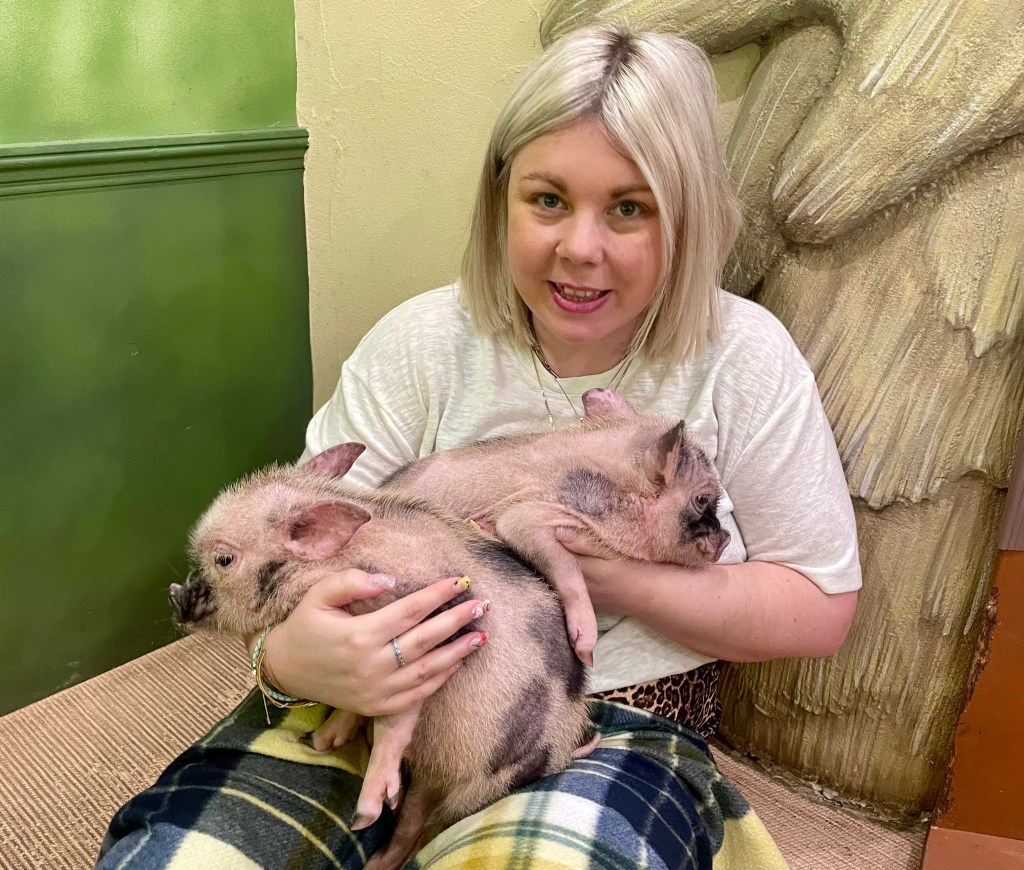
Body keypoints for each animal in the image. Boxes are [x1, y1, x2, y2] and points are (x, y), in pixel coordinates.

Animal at [169, 443, 596, 870]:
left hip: (483, 785)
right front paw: (320, 743)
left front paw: (366, 812)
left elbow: (397, 718)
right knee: (413, 815)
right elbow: (358, 702)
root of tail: (567, 747)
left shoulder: (431, 637)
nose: (175, 595)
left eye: (224, 559)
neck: (338, 562)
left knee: (427, 828)